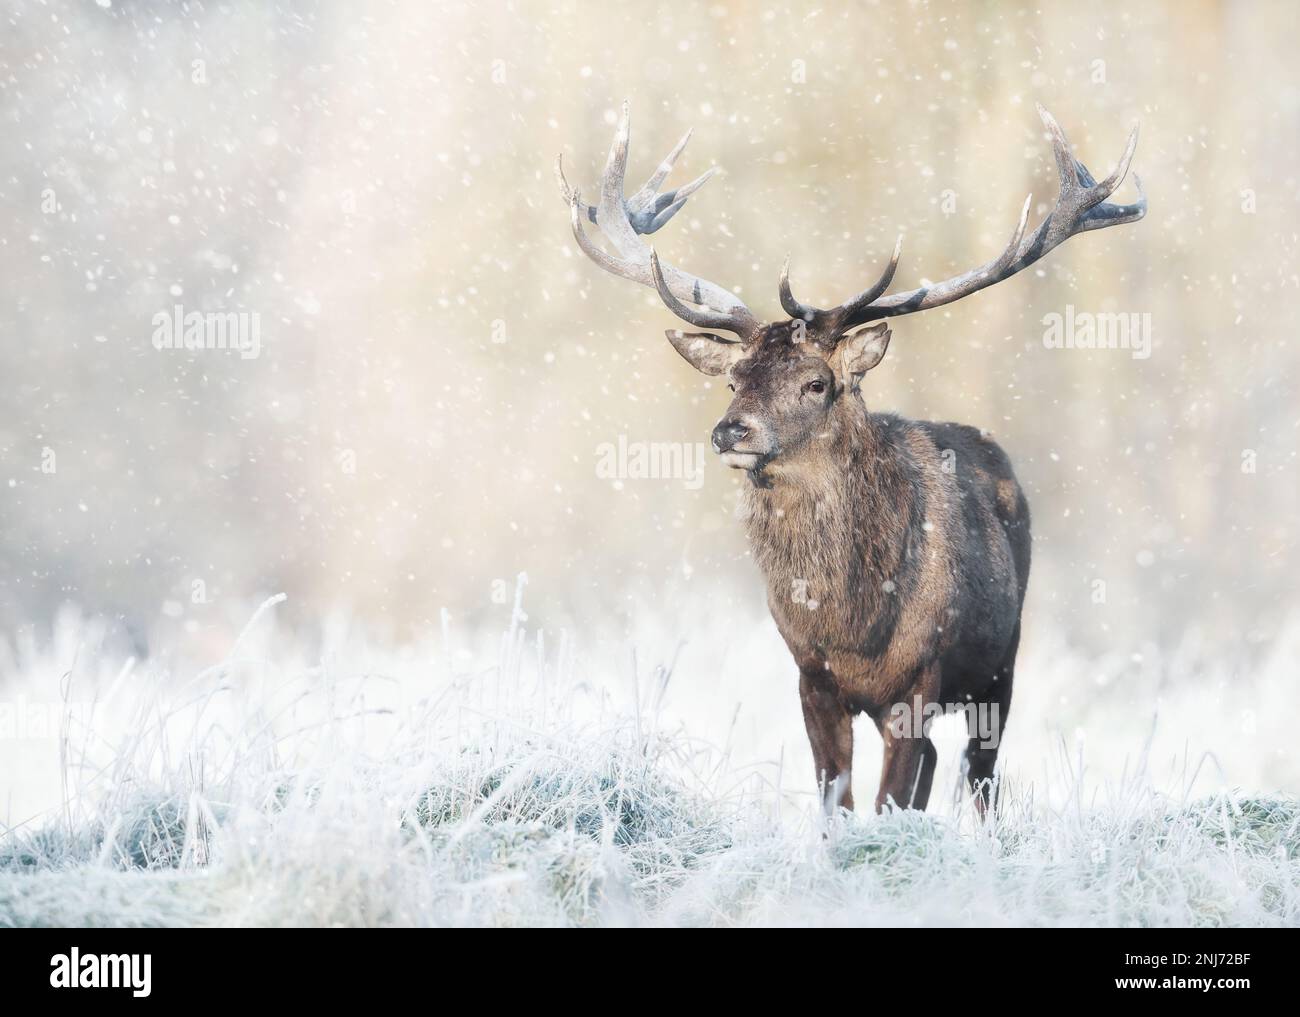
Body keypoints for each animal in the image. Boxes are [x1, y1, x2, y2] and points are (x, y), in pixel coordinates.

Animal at [558, 103, 1145, 815]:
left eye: (816, 382)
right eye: (734, 380)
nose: (730, 431)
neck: (854, 623)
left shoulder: (920, 678)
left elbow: (890, 798)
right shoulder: (810, 676)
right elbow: (835, 803)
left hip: (1003, 662)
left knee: (979, 778)